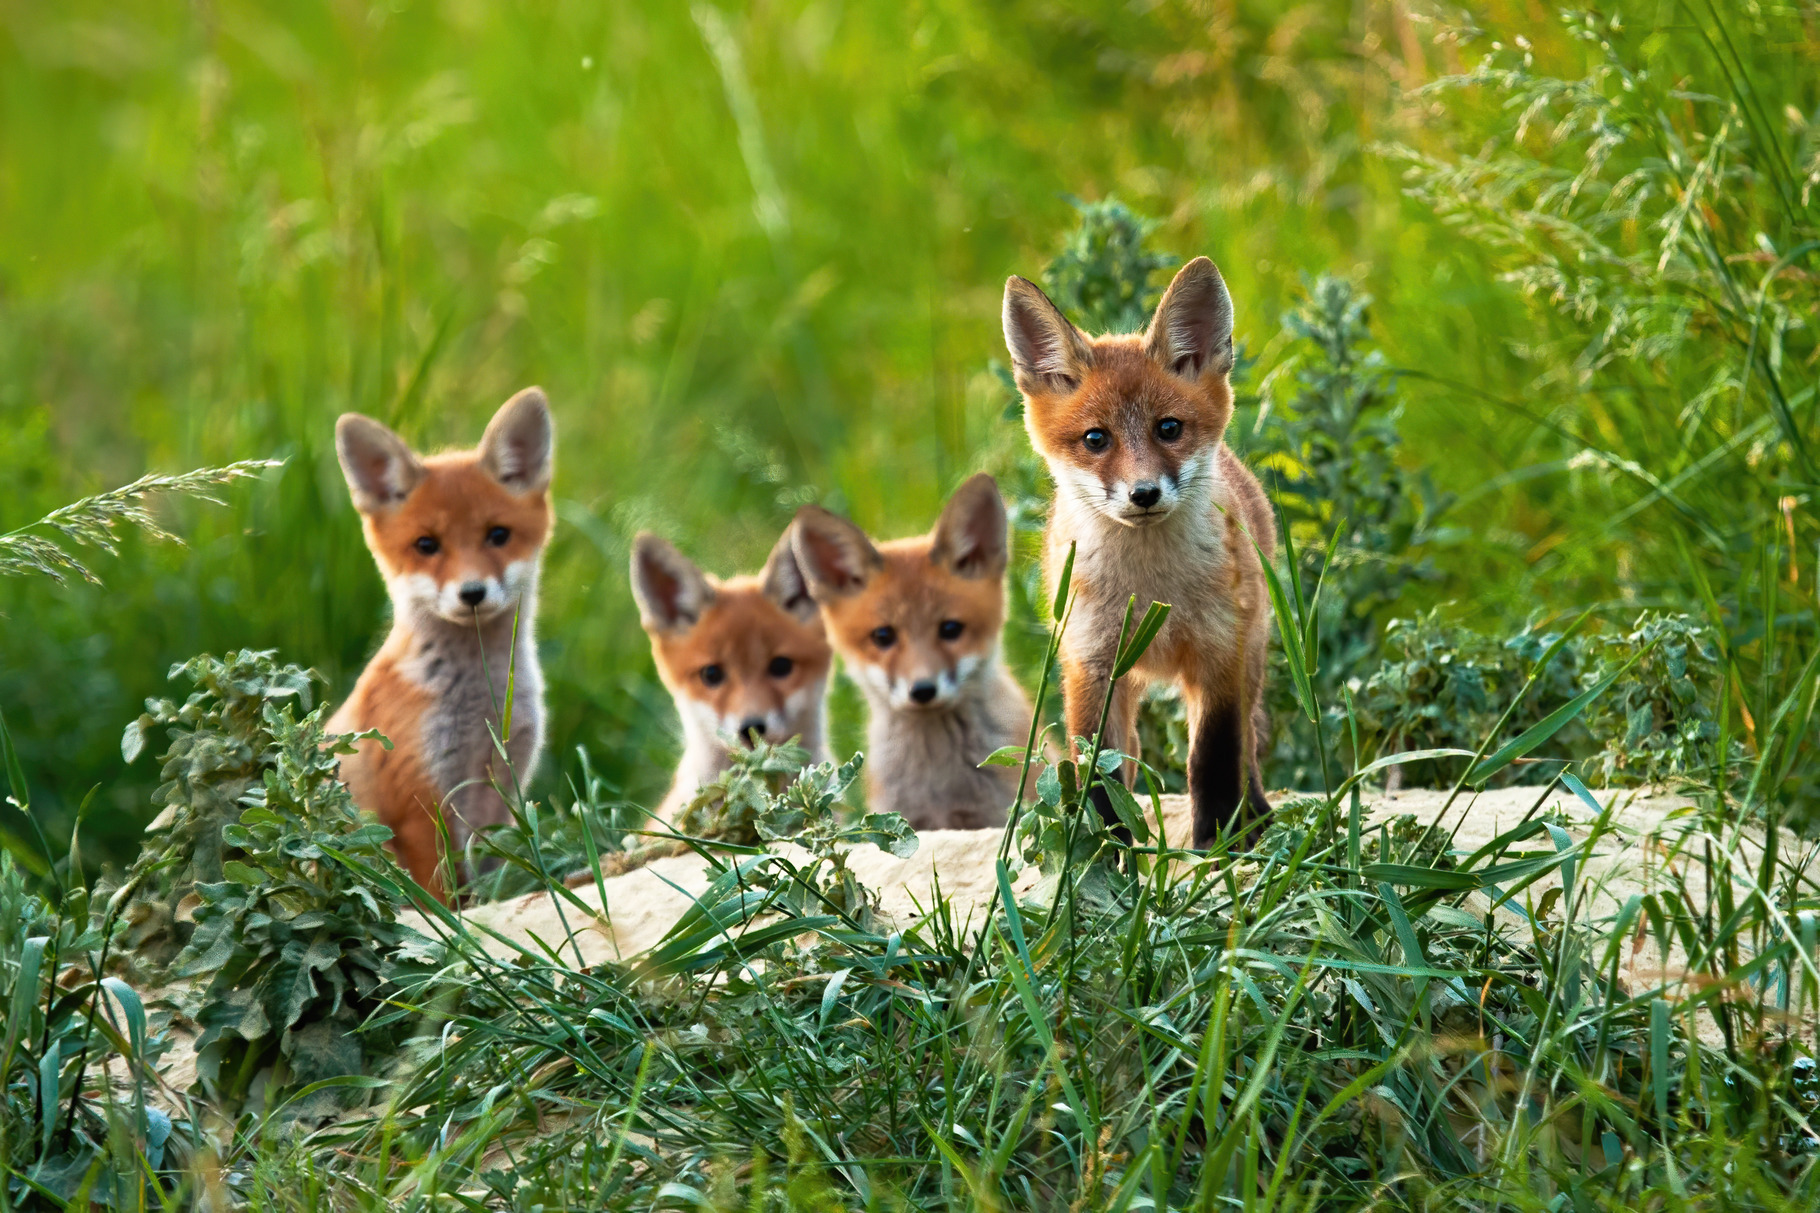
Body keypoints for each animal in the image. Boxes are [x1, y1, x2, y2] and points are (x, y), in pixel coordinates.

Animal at [326, 387, 554, 901]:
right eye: (426, 545)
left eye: (498, 535)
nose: (471, 593)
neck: (479, 703)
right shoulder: (417, 801)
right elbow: (442, 901)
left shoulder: (503, 784)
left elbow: (486, 879)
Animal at [1002, 257, 1275, 847]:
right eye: (1095, 439)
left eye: (1168, 428)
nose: (1143, 494)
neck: (1153, 592)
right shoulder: (1091, 663)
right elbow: (1099, 771)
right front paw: (1102, 852)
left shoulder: (1220, 653)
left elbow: (1212, 758)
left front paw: (1217, 841)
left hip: (1253, 651)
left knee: (1246, 742)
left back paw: (1256, 816)